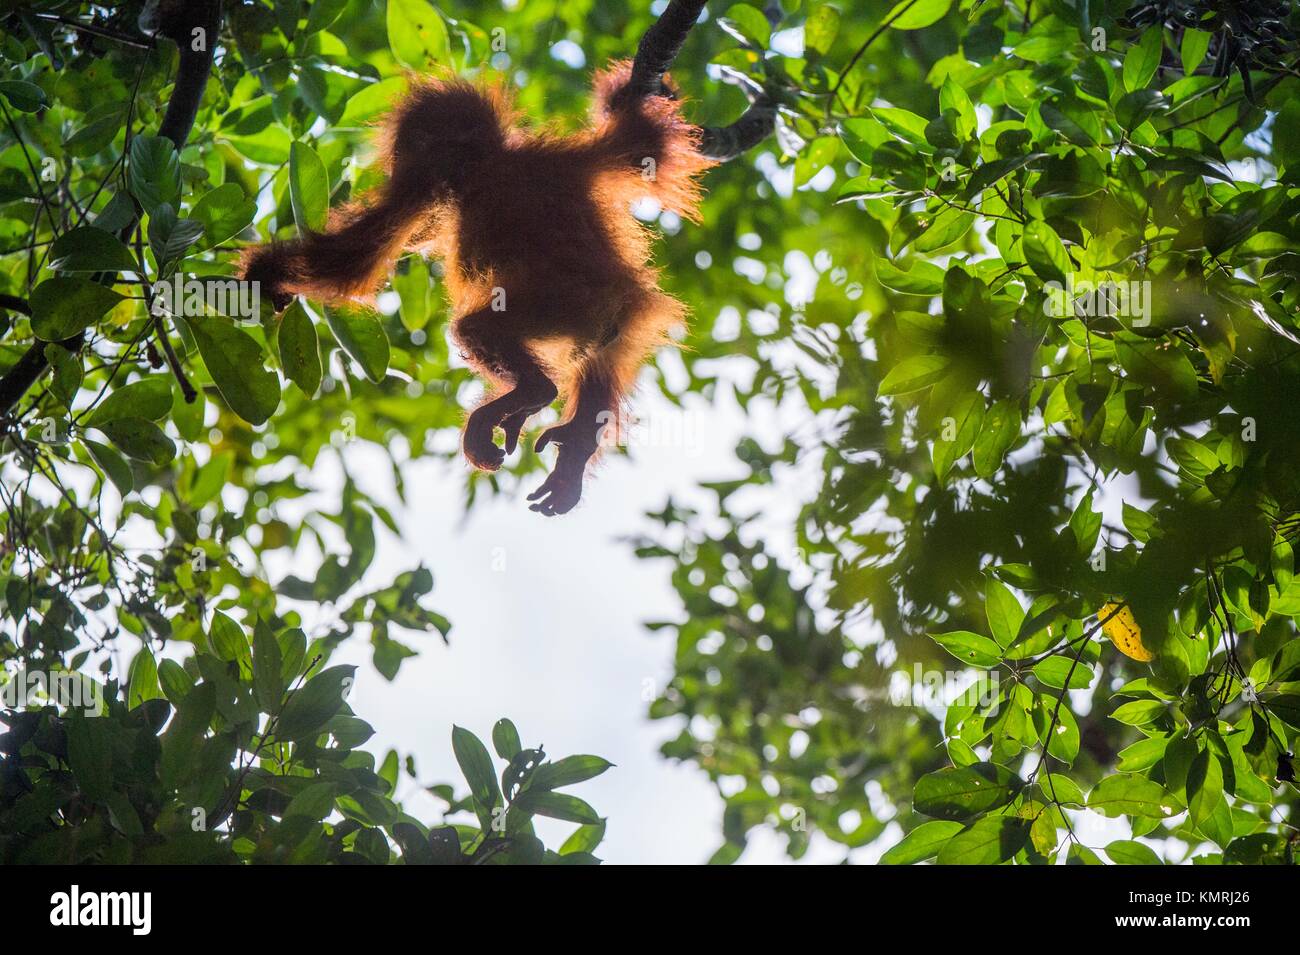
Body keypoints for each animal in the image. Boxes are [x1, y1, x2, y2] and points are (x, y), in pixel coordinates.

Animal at [240, 61, 718, 515]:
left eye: (406, 150)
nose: (395, 162)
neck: (494, 155)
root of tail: (617, 299)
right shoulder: (563, 155)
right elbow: (642, 144)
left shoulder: (426, 180)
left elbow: (350, 262)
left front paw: (265, 271)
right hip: (619, 331)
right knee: (599, 371)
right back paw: (574, 452)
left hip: (559, 307)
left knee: (478, 330)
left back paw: (532, 394)